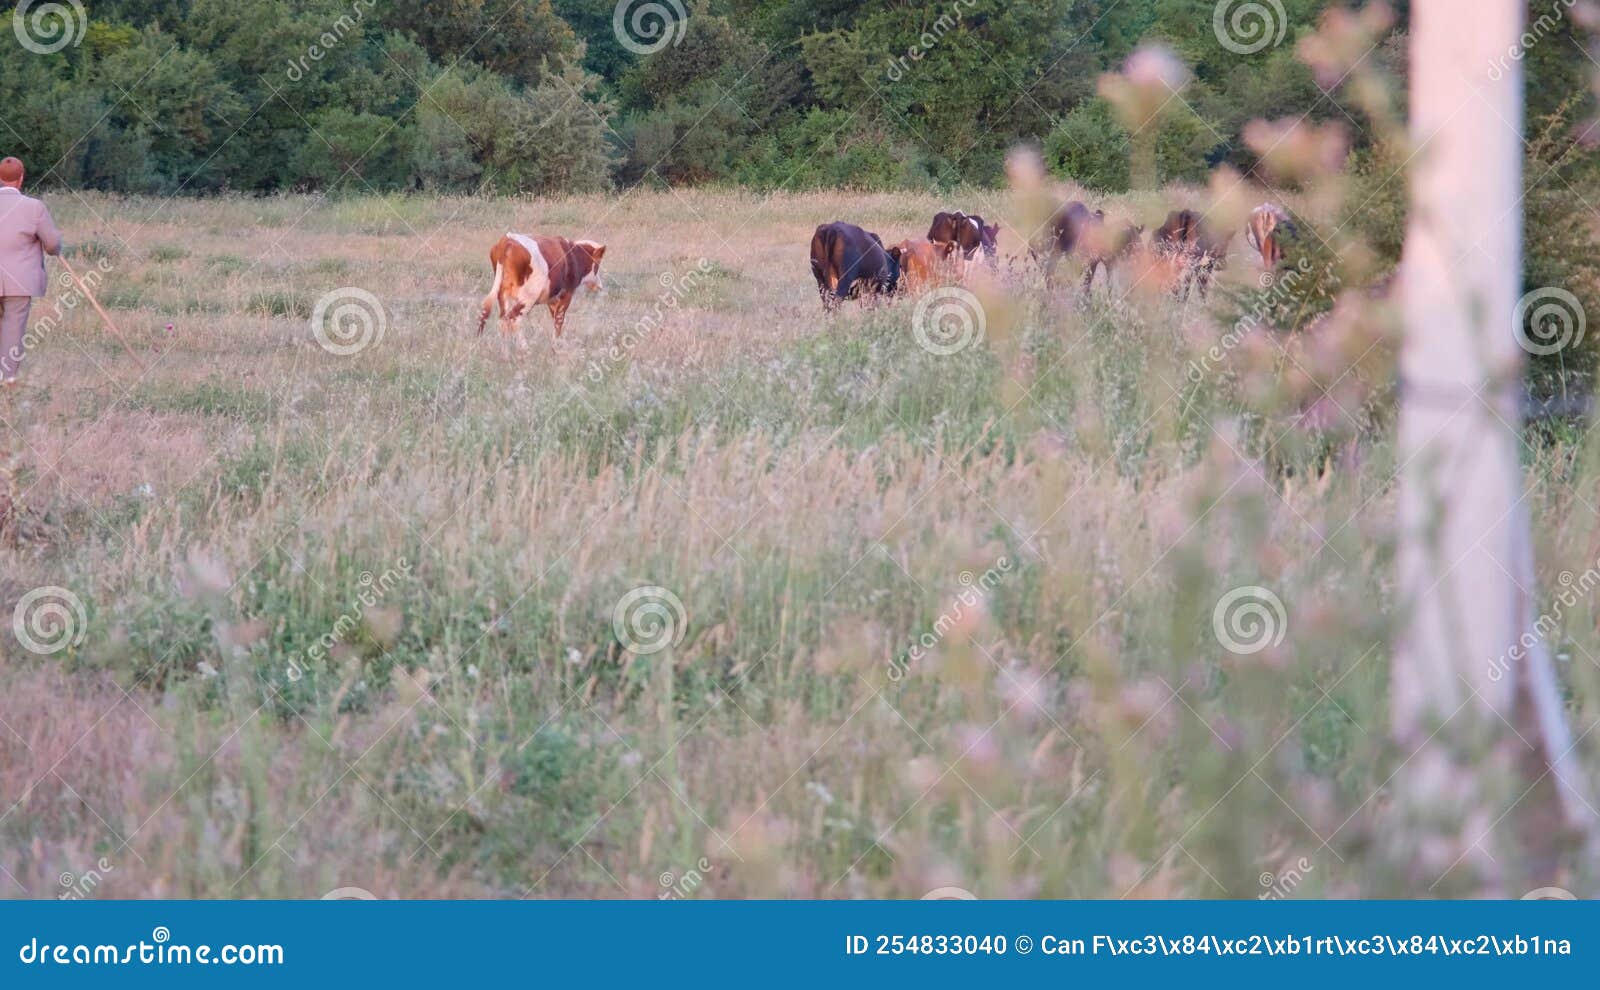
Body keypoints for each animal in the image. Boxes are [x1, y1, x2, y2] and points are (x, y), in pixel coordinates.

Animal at [477, 232, 606, 346]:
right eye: (598, 263)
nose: (600, 285)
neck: (573, 254)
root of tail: (507, 240)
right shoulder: (567, 294)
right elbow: (559, 320)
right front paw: (556, 345)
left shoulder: (552, 299)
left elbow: (554, 319)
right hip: (528, 297)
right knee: (513, 318)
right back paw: (524, 347)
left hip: (504, 294)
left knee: (501, 318)